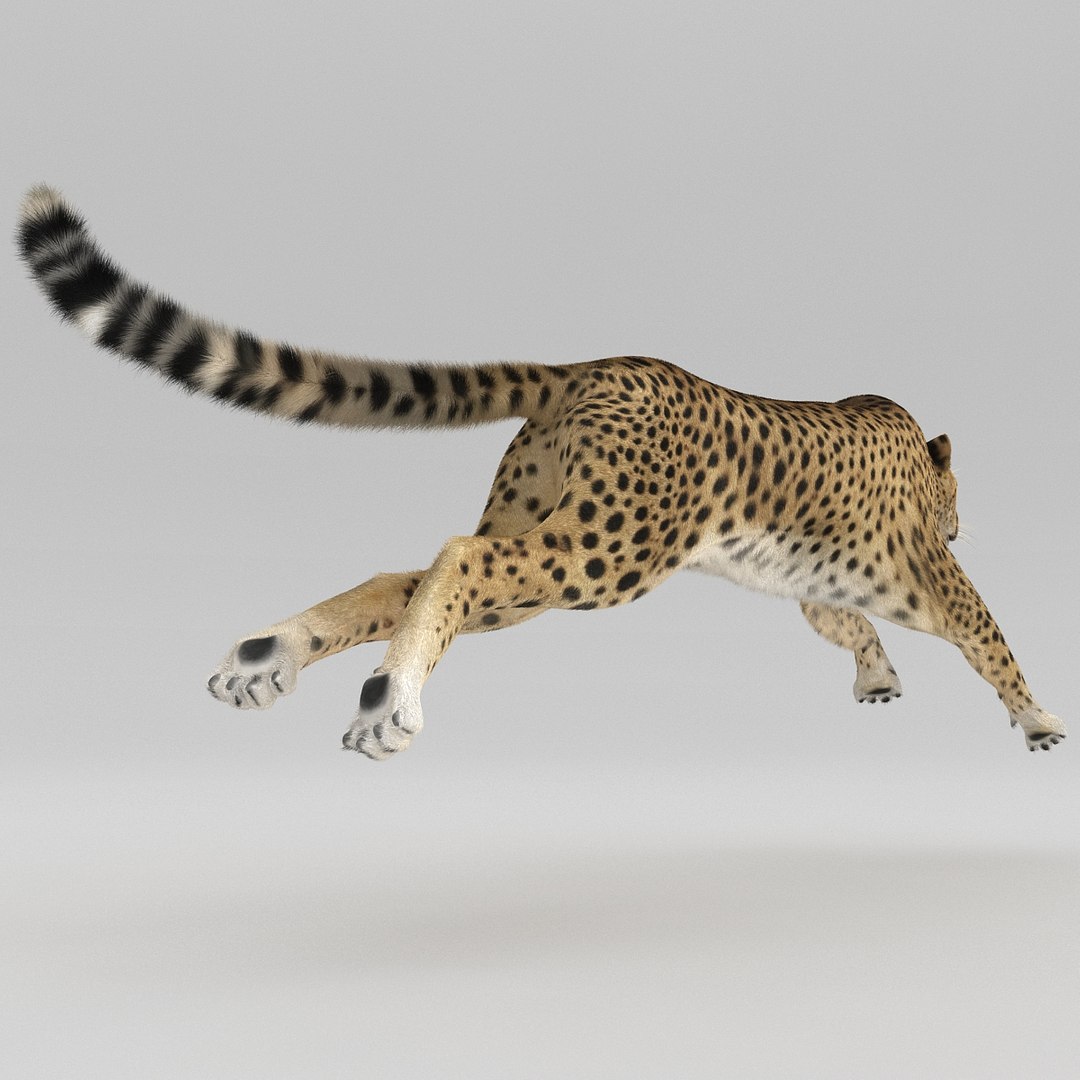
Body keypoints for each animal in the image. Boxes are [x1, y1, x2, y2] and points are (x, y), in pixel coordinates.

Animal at [17, 184, 1066, 758]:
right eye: (958, 507)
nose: (962, 518)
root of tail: (592, 364)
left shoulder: (817, 584)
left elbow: (844, 621)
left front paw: (878, 675)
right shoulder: (929, 575)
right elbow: (990, 636)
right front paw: (1043, 722)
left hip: (543, 533)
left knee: (407, 574)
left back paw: (273, 655)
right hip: (604, 554)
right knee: (456, 557)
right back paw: (389, 702)